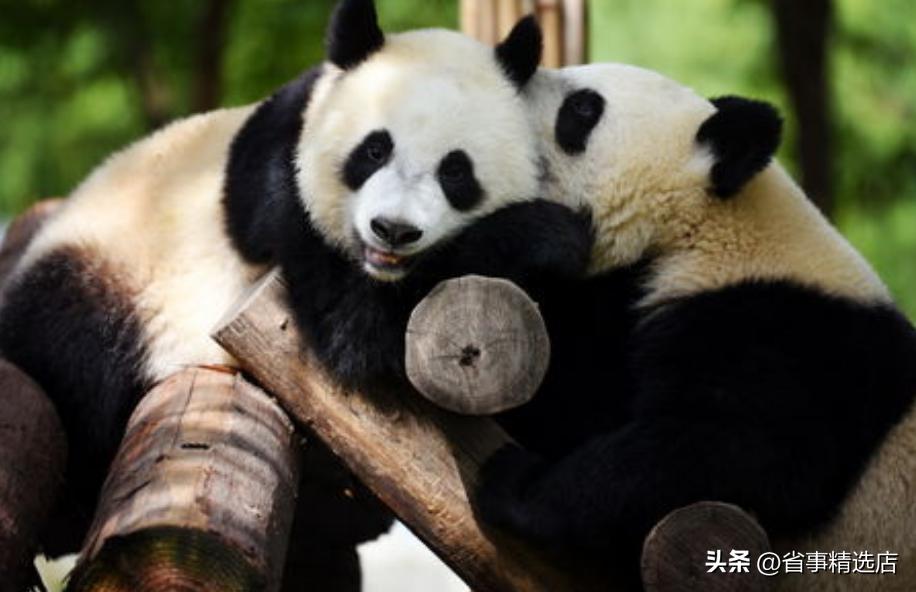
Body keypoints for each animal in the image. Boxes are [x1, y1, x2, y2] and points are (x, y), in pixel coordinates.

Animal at [0, 0, 591, 582]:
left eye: (456, 171)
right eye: (374, 150)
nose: (393, 229)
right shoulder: (276, 196)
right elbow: (353, 329)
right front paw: (541, 234)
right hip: (111, 273)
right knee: (75, 355)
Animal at [473, 63, 916, 592]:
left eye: (582, 108)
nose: (510, 76)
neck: (709, 225)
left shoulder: (780, 334)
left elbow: (741, 450)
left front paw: (518, 486)